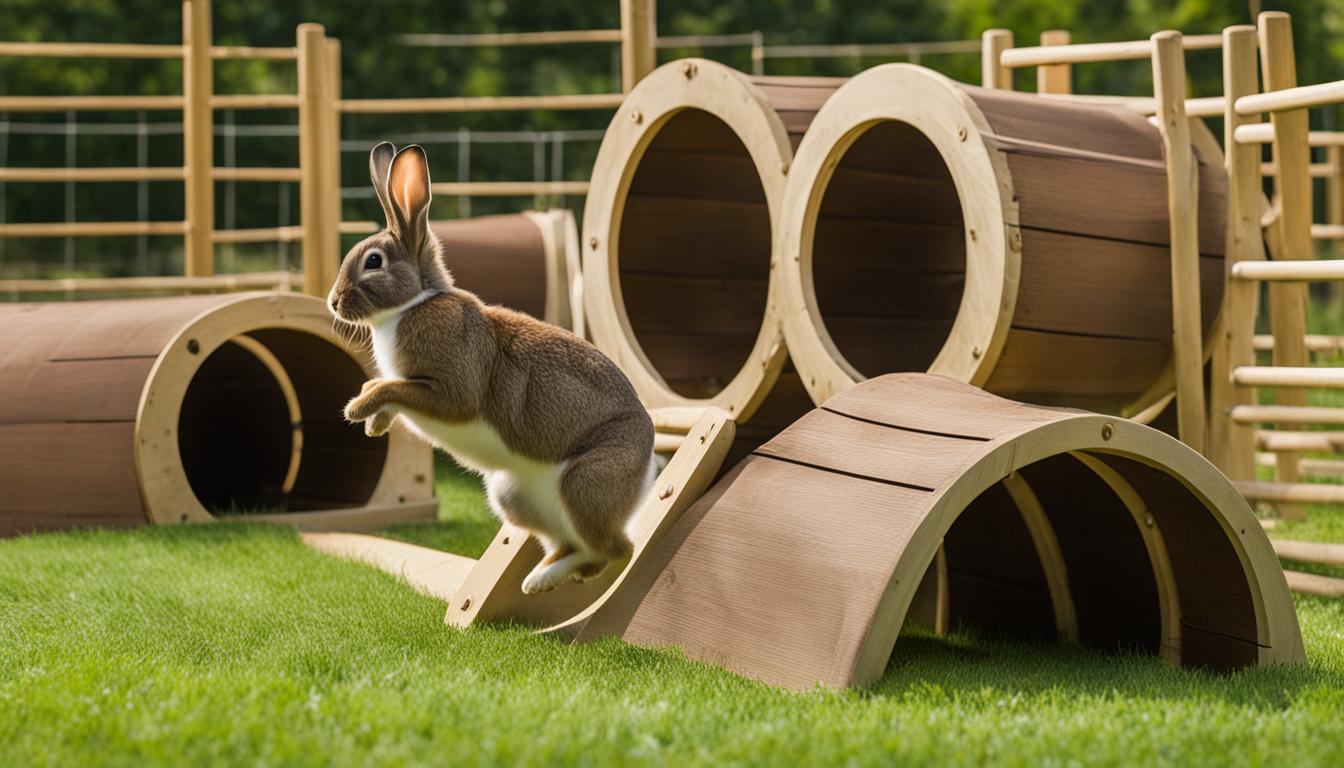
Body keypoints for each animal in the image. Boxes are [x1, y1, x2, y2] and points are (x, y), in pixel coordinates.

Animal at [329, 142, 657, 594]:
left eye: (373, 261)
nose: (332, 302)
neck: (414, 303)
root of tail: (647, 460)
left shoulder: (449, 390)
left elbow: (389, 387)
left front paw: (357, 411)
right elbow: (384, 390)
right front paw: (373, 425)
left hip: (585, 483)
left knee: (616, 550)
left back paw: (545, 580)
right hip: (512, 498)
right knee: (578, 548)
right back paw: (539, 581)